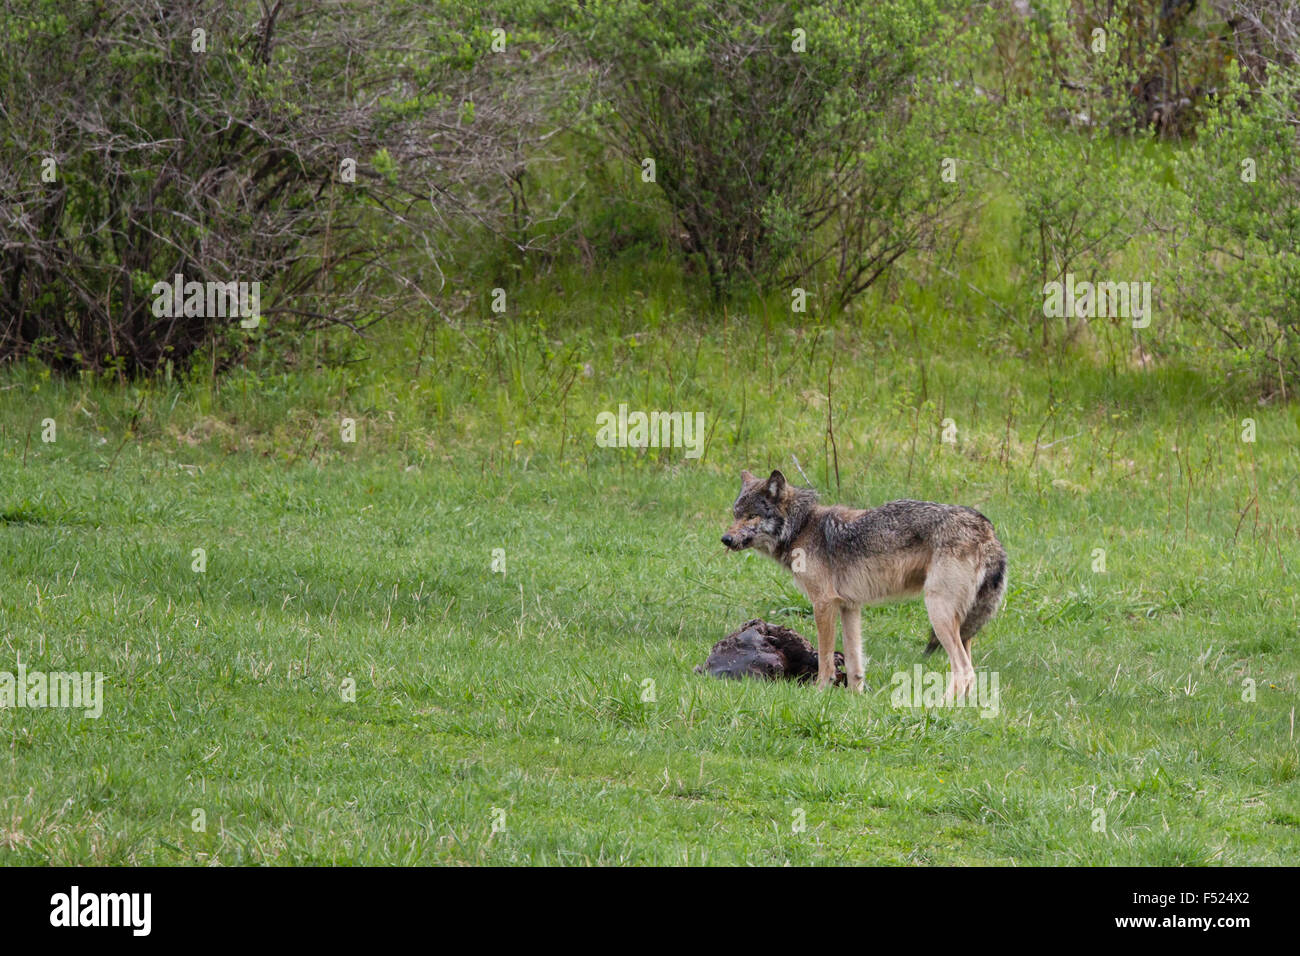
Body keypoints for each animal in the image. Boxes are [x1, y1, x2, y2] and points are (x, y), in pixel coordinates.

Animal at [721, 469, 1007, 698]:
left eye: (752, 516)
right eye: (735, 515)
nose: (725, 539)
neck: (801, 527)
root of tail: (986, 529)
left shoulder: (823, 604)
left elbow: (826, 658)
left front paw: (819, 692)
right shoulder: (850, 606)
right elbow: (854, 660)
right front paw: (855, 697)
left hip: (938, 613)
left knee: (964, 670)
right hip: (962, 625)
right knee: (970, 672)